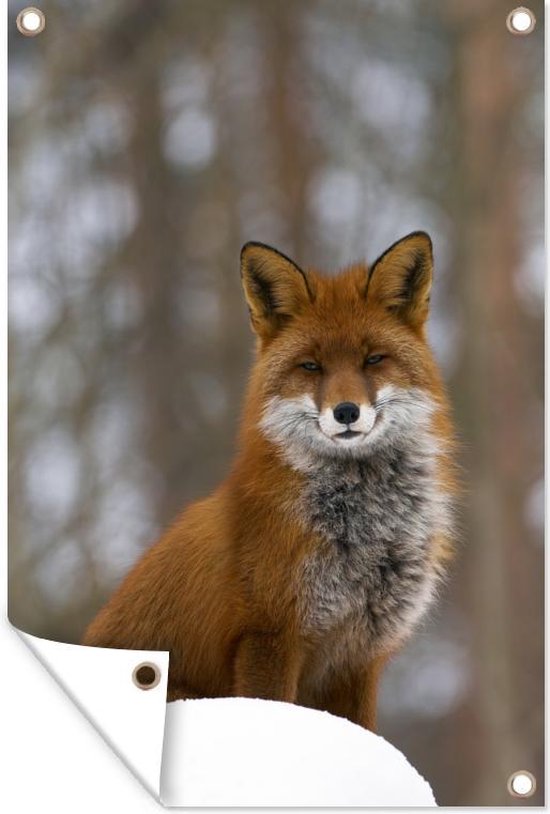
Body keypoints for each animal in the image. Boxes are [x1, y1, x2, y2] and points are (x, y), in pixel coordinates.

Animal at [83, 231, 457, 731]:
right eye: (311, 366)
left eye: (374, 359)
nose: (346, 412)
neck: (363, 535)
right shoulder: (269, 635)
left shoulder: (359, 655)